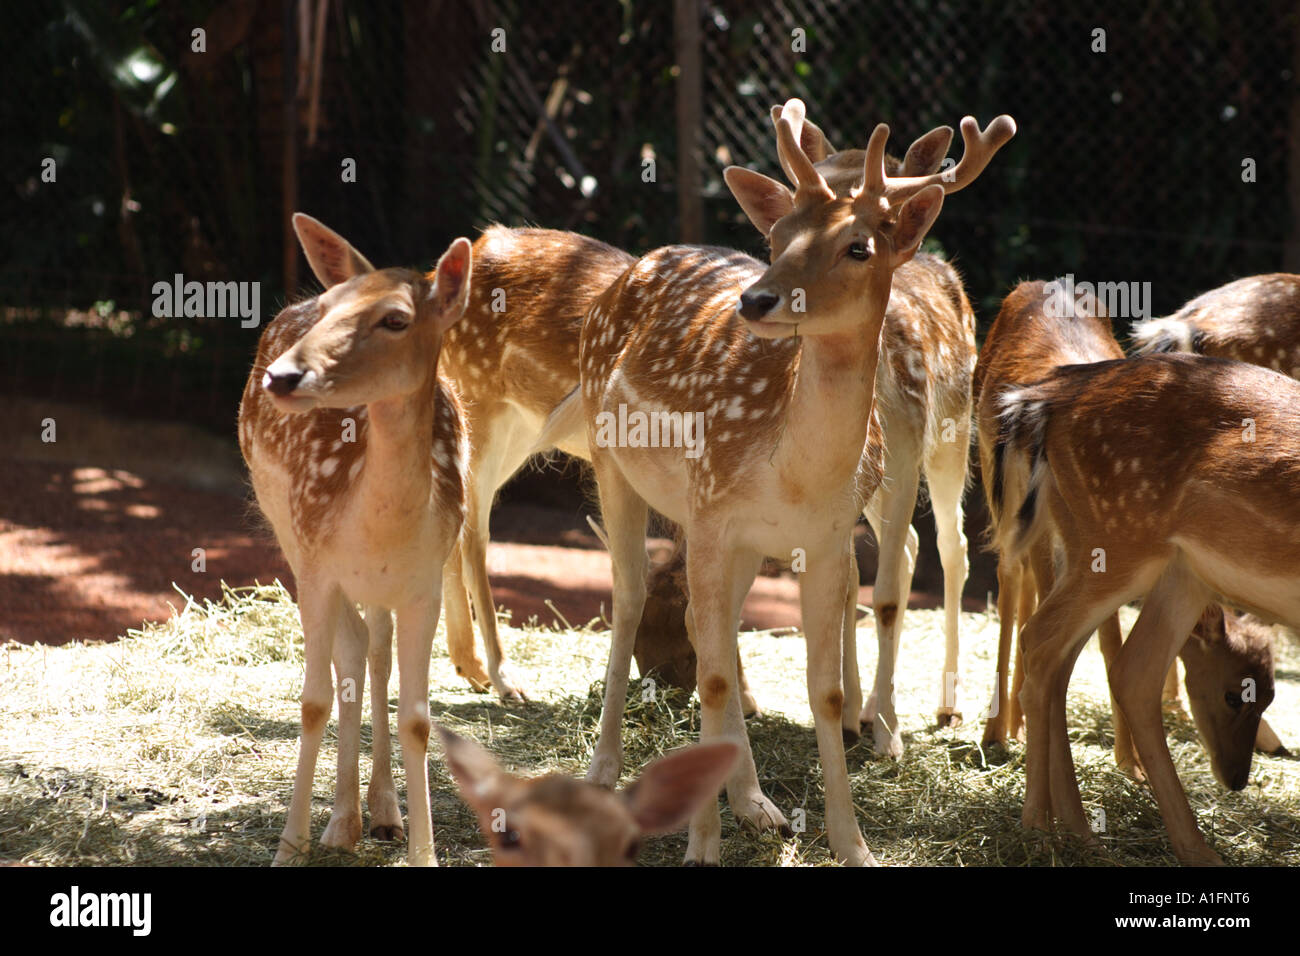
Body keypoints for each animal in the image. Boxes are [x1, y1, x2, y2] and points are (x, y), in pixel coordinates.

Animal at [238, 213, 473, 866]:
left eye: (395, 319)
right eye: (329, 309)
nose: (283, 376)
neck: (381, 528)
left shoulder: (424, 584)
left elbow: (419, 718)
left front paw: (424, 853)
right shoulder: (317, 566)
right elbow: (313, 700)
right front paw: (288, 848)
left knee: (374, 649)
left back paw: (381, 814)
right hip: (291, 537)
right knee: (352, 652)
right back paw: (342, 822)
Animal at [559, 98, 1014, 864]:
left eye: (860, 246)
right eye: (776, 235)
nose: (757, 300)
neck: (795, 472)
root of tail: (633, 266)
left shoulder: (822, 539)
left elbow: (822, 686)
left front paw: (853, 840)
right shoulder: (714, 513)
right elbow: (712, 675)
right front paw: (701, 848)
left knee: (703, 621)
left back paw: (756, 802)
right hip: (612, 461)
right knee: (629, 598)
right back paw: (603, 770)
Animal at [996, 352, 1282, 865]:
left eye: (1270, 697)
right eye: (1234, 695)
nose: (1236, 781)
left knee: (1084, 660)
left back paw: (1080, 828)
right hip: (1122, 540)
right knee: (1053, 645)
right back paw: (1042, 829)